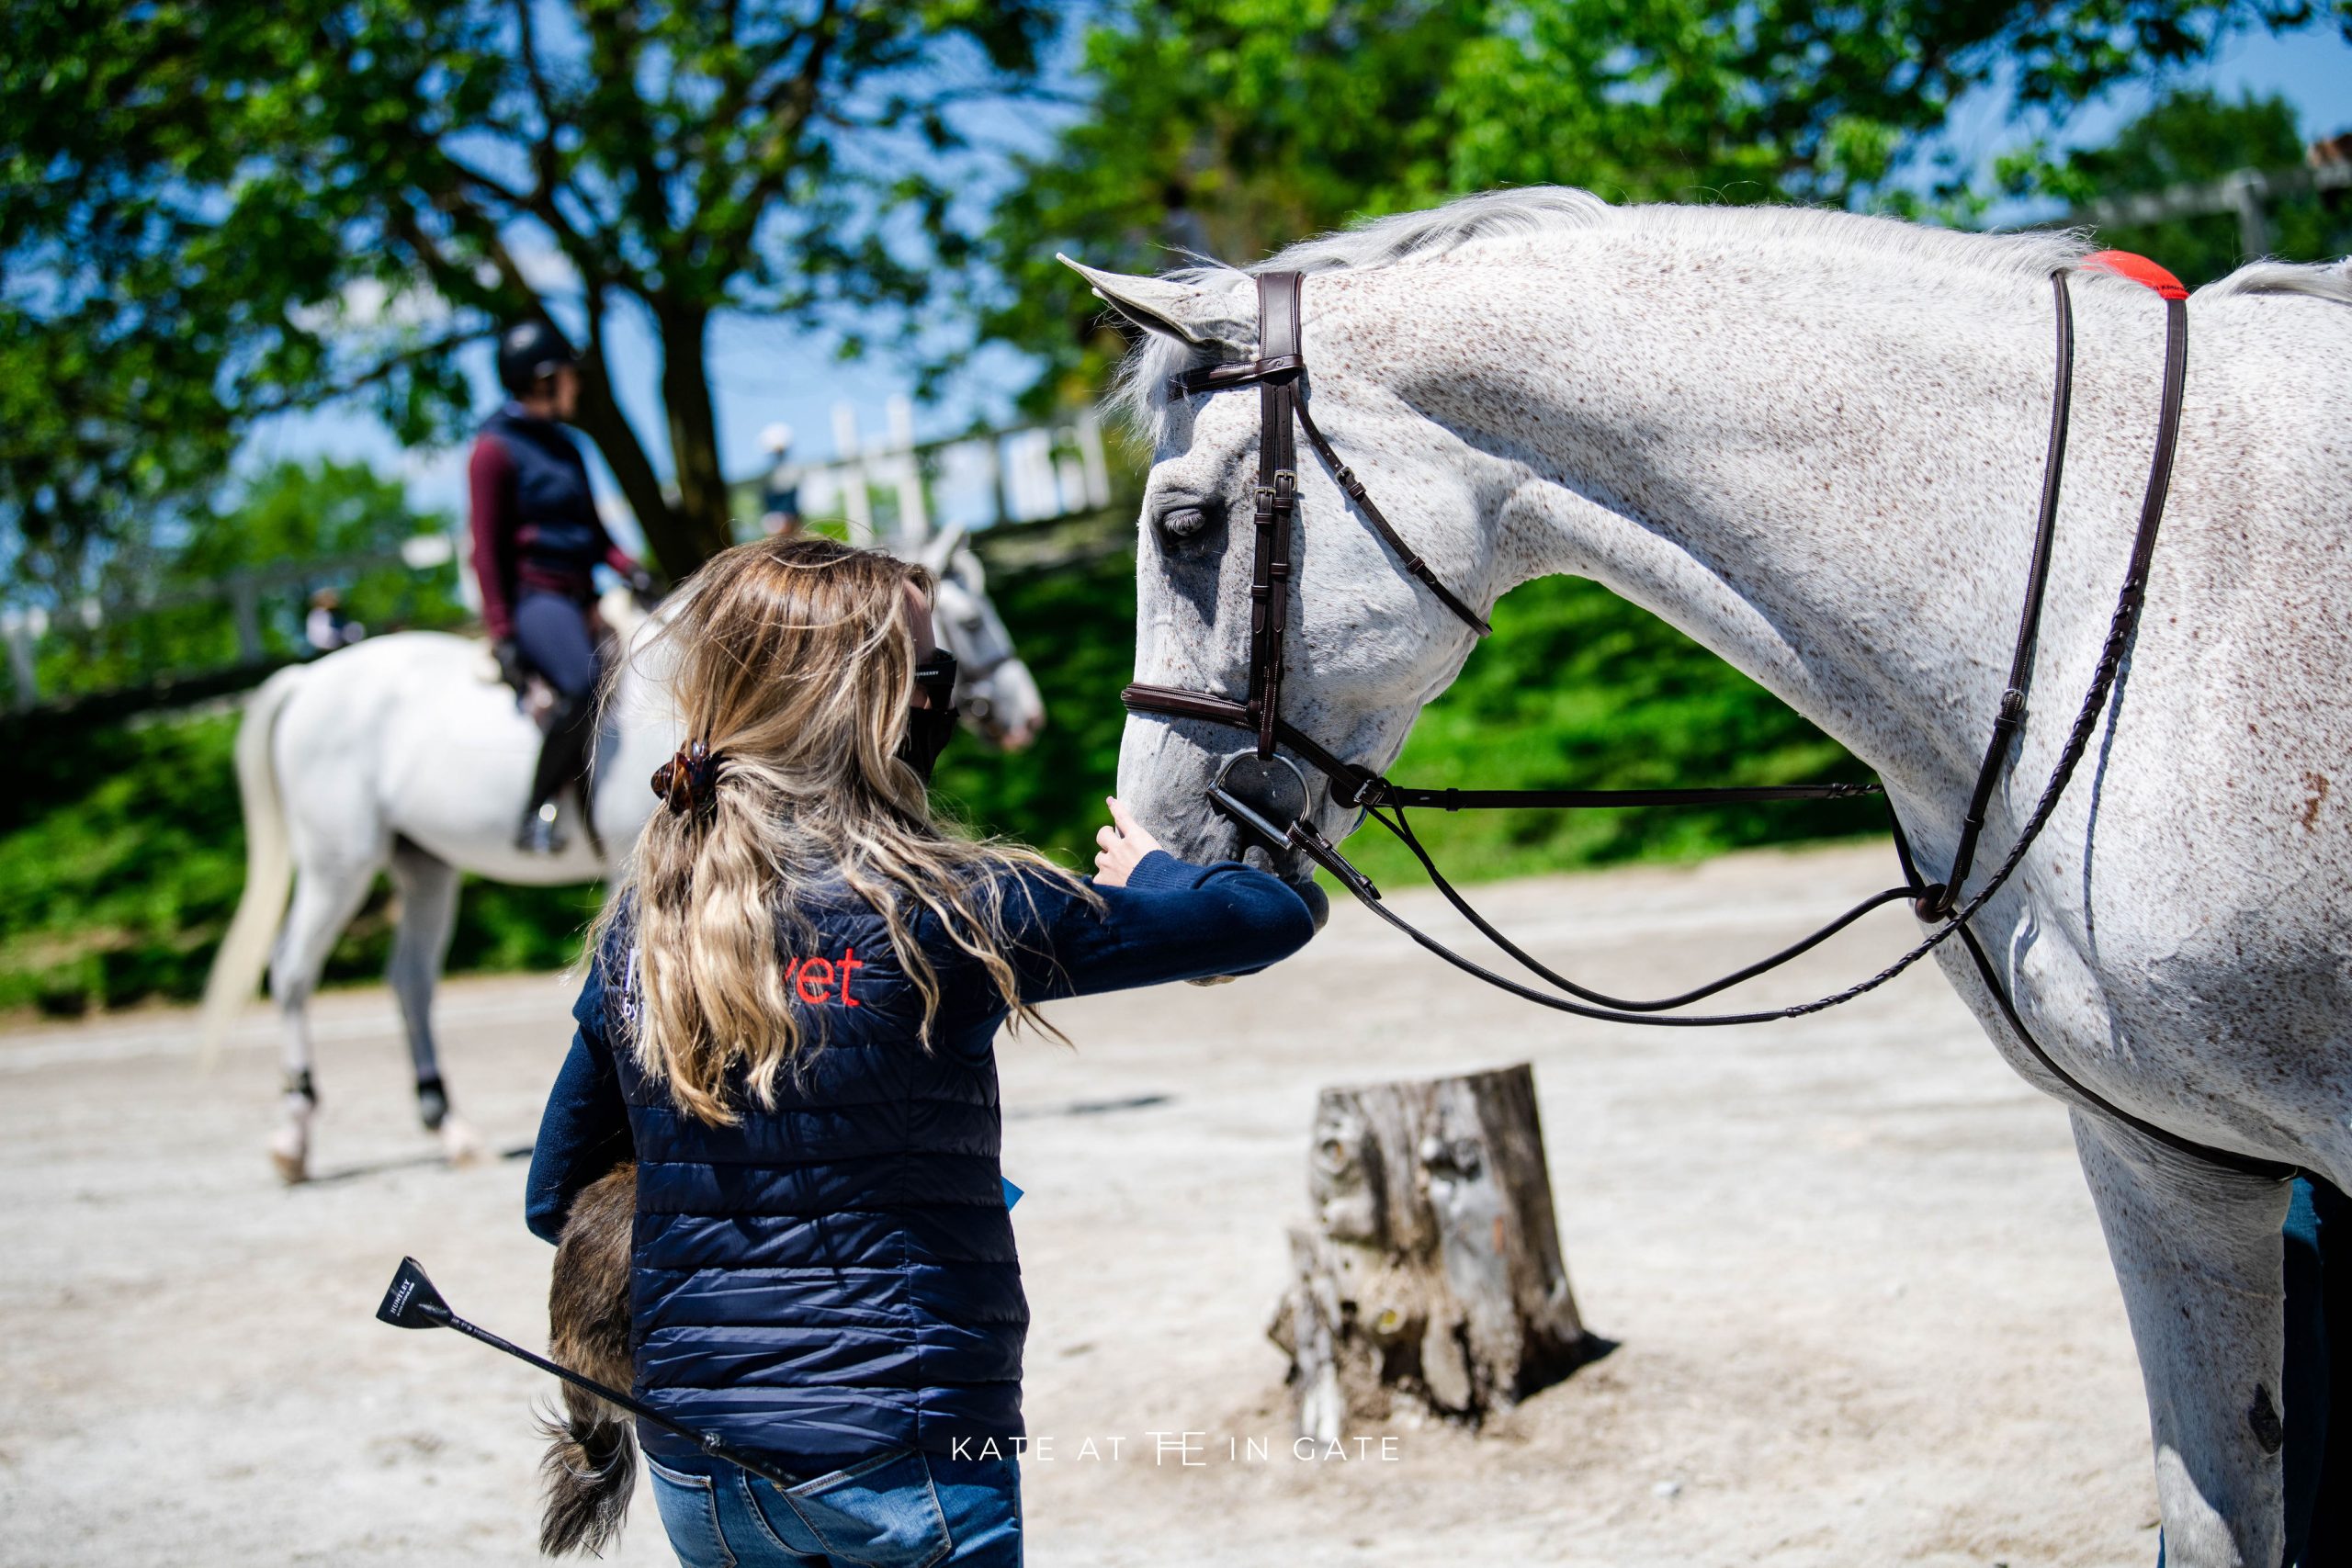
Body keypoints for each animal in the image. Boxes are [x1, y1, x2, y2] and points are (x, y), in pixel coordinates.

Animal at [197, 529, 1043, 1184]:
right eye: (970, 619)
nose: (1029, 718)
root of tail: (309, 678)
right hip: (339, 860)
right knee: (294, 971)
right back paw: (293, 1137)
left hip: (423, 864)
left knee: (409, 982)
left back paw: (451, 1128)